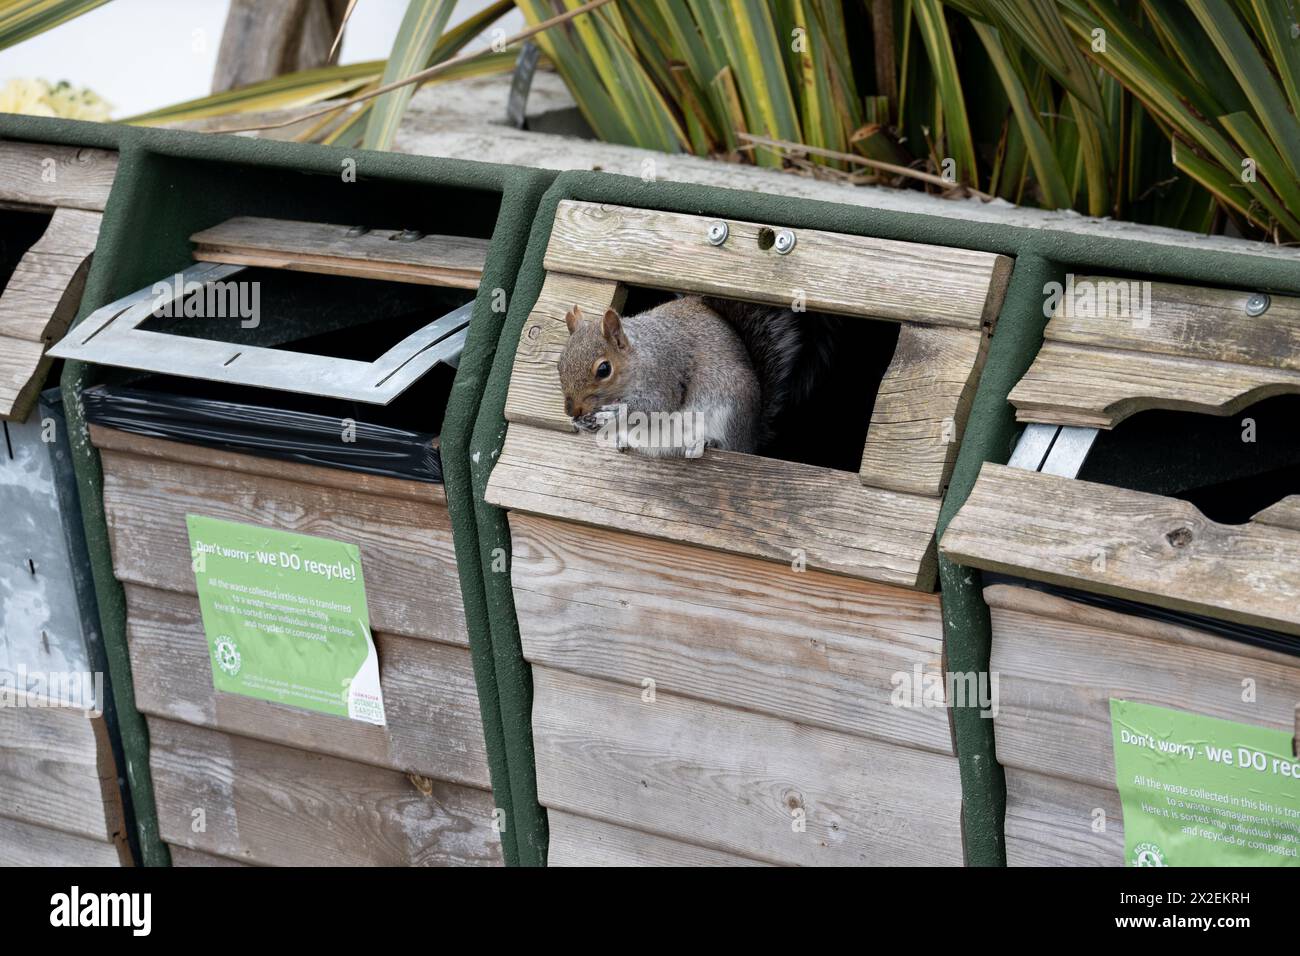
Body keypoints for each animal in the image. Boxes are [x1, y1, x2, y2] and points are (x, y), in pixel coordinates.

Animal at [557, 295, 836, 457]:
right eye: (559, 364)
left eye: (604, 369)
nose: (572, 410)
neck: (639, 355)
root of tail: (750, 441)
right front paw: (583, 423)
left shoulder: (665, 372)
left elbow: (656, 407)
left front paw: (614, 413)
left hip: (730, 409)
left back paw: (708, 443)